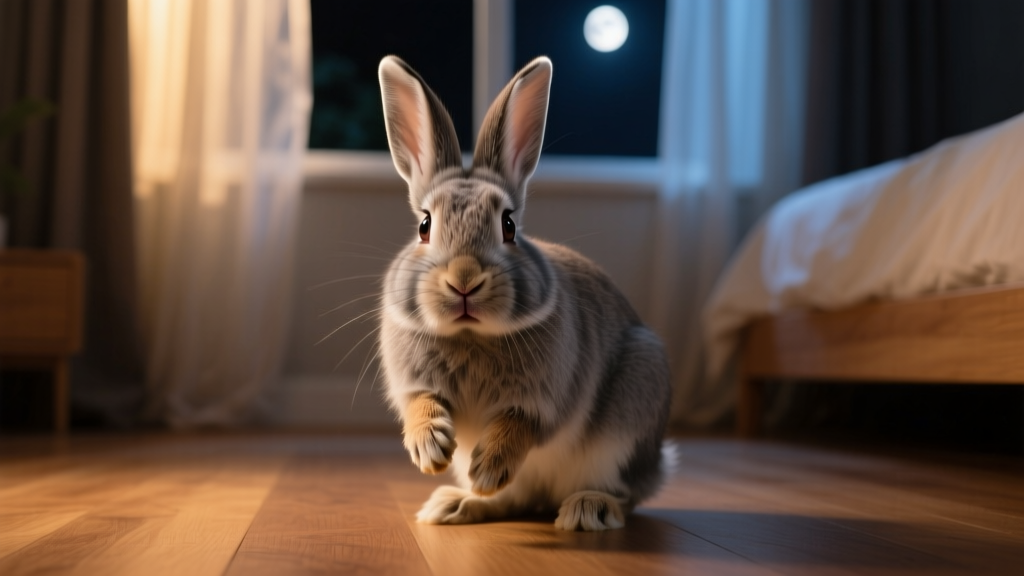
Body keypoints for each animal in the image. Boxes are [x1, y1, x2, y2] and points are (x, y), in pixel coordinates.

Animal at [376, 55, 672, 531]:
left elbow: (521, 425)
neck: (471, 335)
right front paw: (430, 449)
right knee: (512, 501)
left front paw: (489, 464)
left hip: (631, 416)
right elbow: (421, 403)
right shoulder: (415, 384)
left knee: (624, 495)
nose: (464, 279)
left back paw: (586, 509)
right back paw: (457, 502)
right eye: (424, 225)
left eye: (509, 225)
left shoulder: (545, 401)